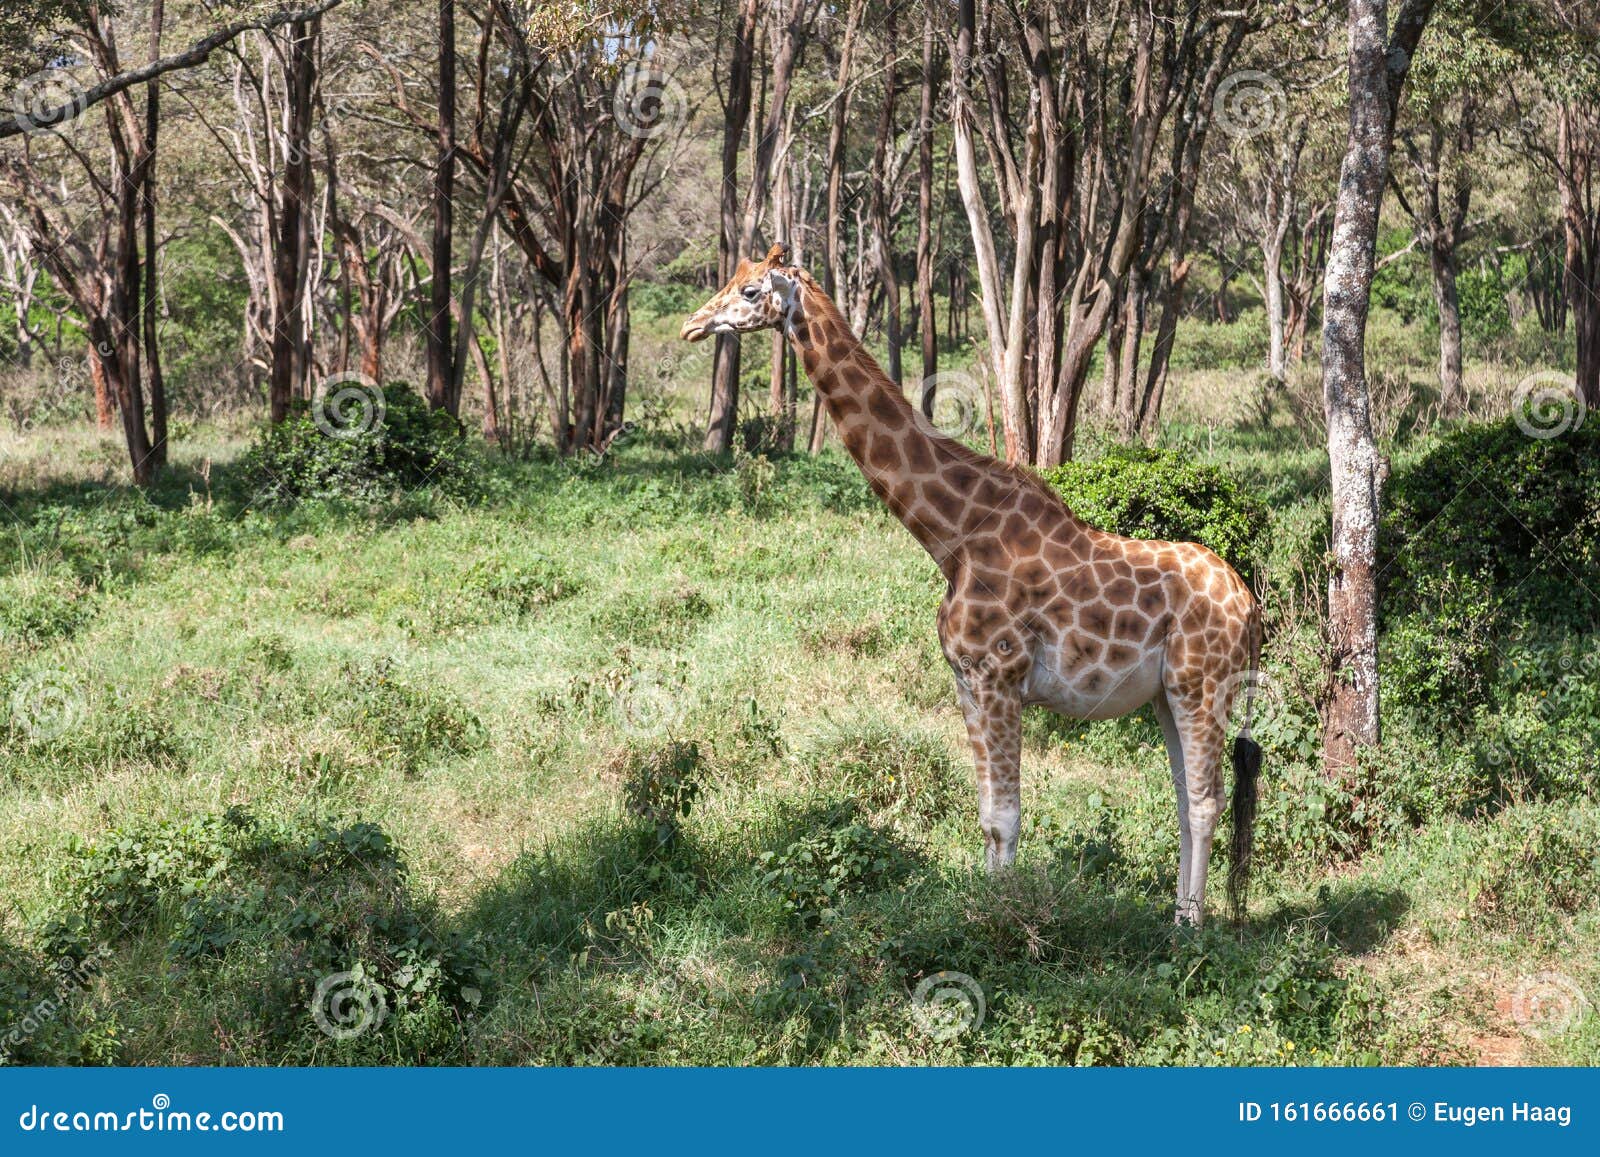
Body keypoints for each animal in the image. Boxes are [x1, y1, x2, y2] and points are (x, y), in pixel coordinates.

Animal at [682, 244, 1263, 925]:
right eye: (729, 282)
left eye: (750, 292)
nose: (693, 325)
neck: (952, 535)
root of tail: (1251, 605)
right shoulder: (965, 678)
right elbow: (987, 817)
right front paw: (984, 910)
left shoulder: (1000, 674)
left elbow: (1007, 817)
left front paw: (1005, 921)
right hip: (1167, 693)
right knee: (1184, 796)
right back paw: (1175, 916)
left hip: (1204, 684)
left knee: (1206, 800)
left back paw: (1190, 928)